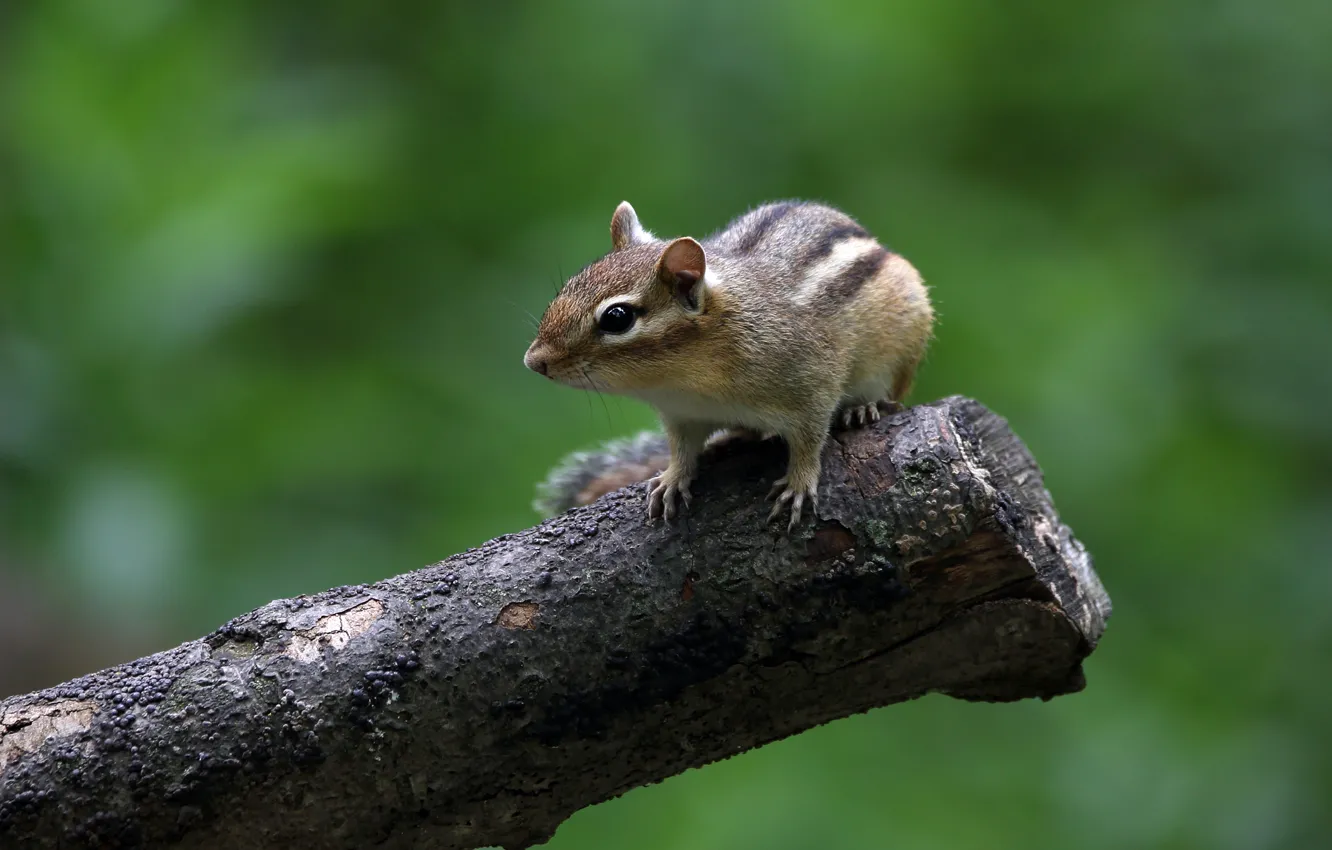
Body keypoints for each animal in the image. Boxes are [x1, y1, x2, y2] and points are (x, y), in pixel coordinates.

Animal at [524, 200, 934, 529]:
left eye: (617, 317)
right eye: (570, 285)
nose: (533, 361)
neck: (686, 381)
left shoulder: (813, 382)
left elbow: (810, 439)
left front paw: (800, 483)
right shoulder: (682, 415)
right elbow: (681, 449)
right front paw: (672, 479)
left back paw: (862, 408)